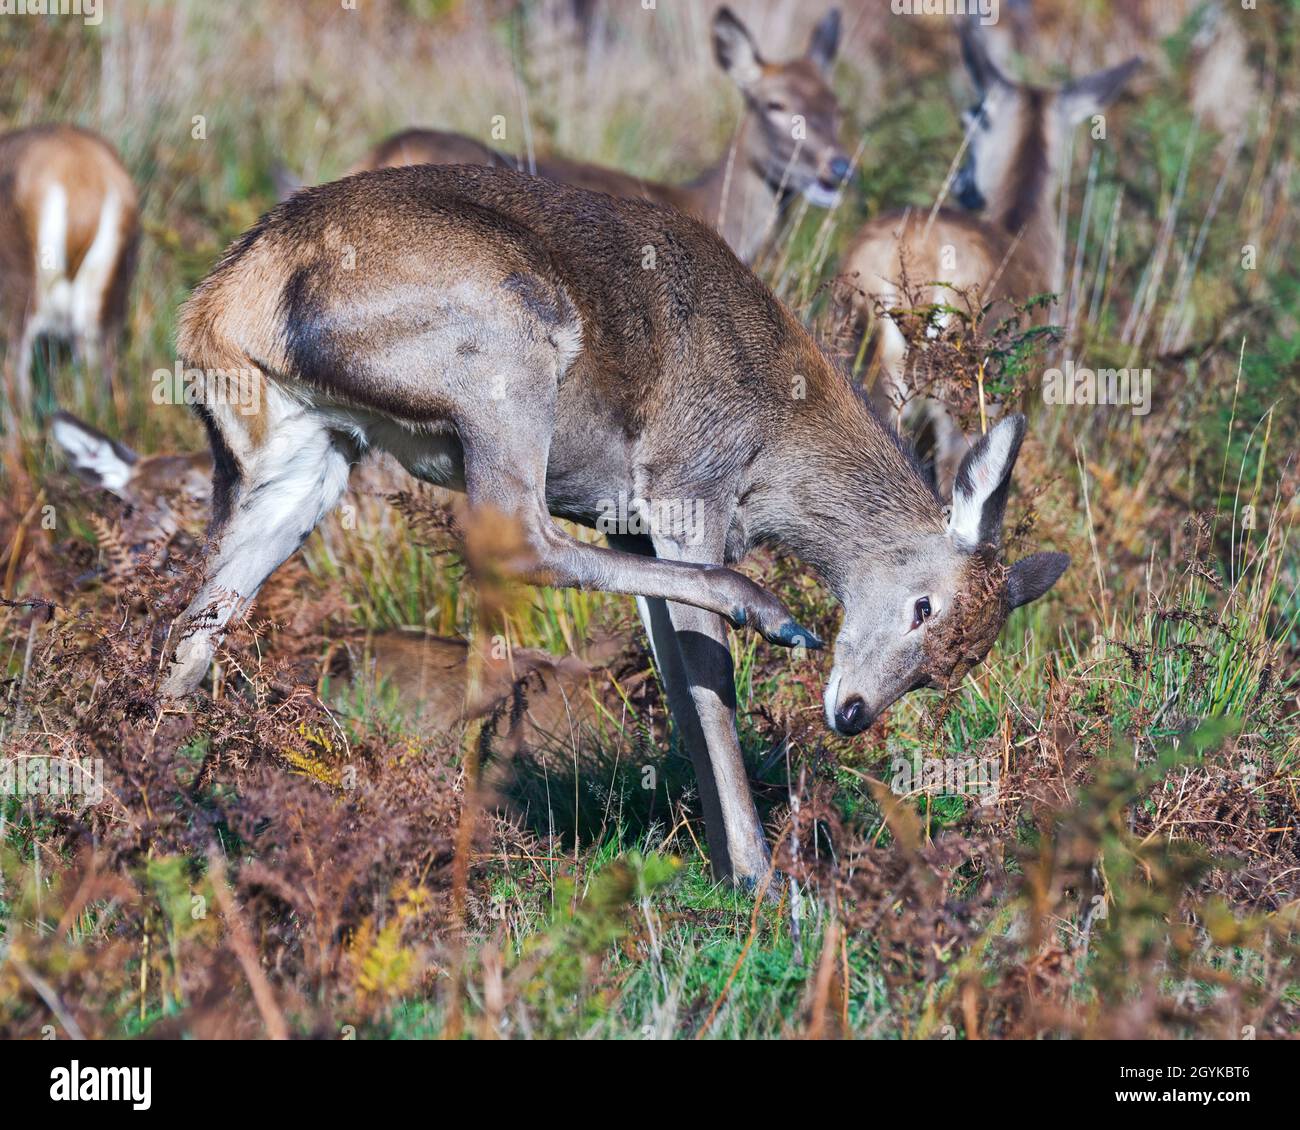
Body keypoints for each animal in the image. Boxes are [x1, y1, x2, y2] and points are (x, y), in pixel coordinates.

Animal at [160, 163, 1069, 886]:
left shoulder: (628, 525)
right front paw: (762, 880)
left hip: (297, 454)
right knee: (518, 538)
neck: (776, 449)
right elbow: (712, 684)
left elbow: (680, 685)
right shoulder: (686, 488)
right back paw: (769, 612)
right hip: (508, 351)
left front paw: (729, 866)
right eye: (923, 606)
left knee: (197, 623)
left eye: (951, 672)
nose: (852, 713)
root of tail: (226, 298)